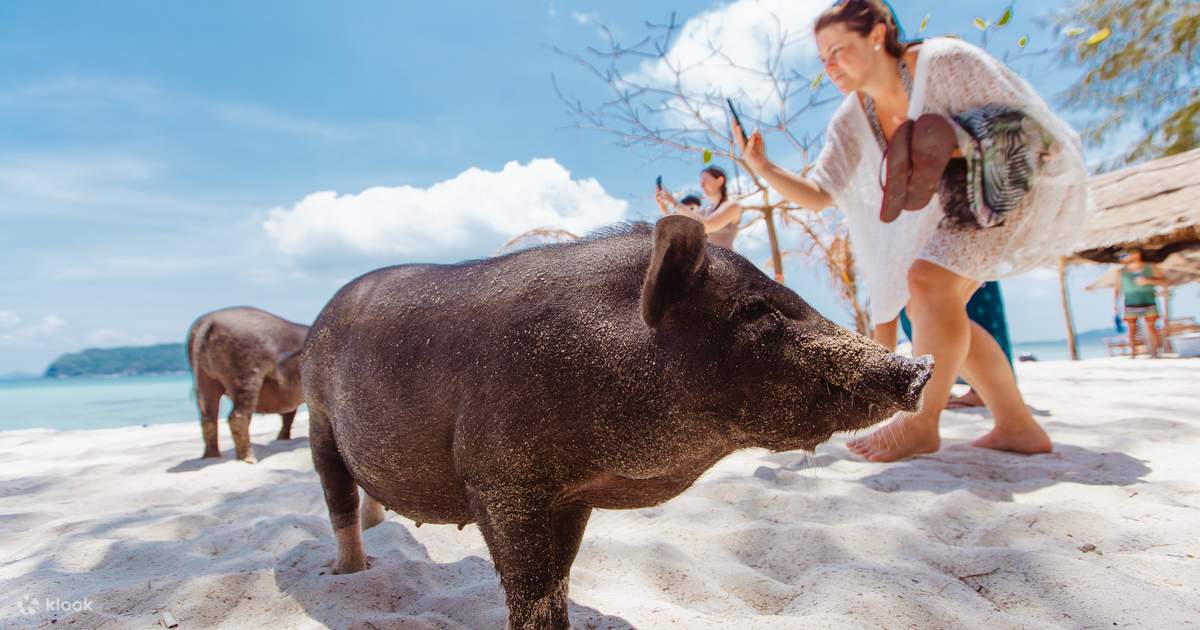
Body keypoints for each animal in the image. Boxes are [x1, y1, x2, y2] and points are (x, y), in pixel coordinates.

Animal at [187, 306, 308, 463]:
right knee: (237, 416)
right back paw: (249, 459)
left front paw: (282, 439)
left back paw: (212, 457)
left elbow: (288, 415)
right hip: (246, 372)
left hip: (203, 377)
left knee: (208, 417)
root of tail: (209, 322)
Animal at [301, 217, 932, 628]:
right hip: (317, 415)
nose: (920, 367)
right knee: (336, 497)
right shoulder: (499, 481)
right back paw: (346, 573)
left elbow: (559, 582)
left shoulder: (570, 497)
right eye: (755, 310)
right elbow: (531, 592)